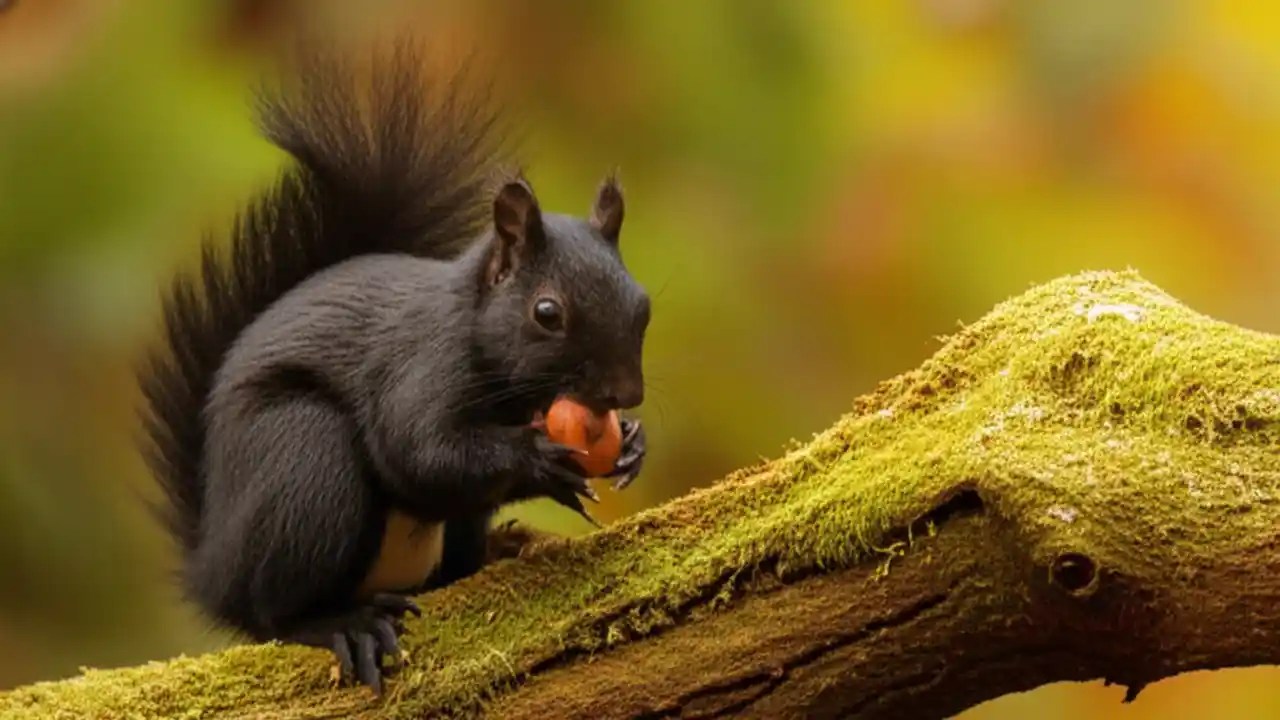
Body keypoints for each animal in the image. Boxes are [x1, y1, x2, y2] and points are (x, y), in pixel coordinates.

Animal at [136, 42, 649, 695]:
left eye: (643, 303)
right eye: (547, 313)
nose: (625, 394)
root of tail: (213, 566)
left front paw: (632, 445)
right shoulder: (418, 367)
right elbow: (418, 453)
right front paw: (538, 457)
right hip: (303, 460)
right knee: (271, 612)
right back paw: (339, 621)